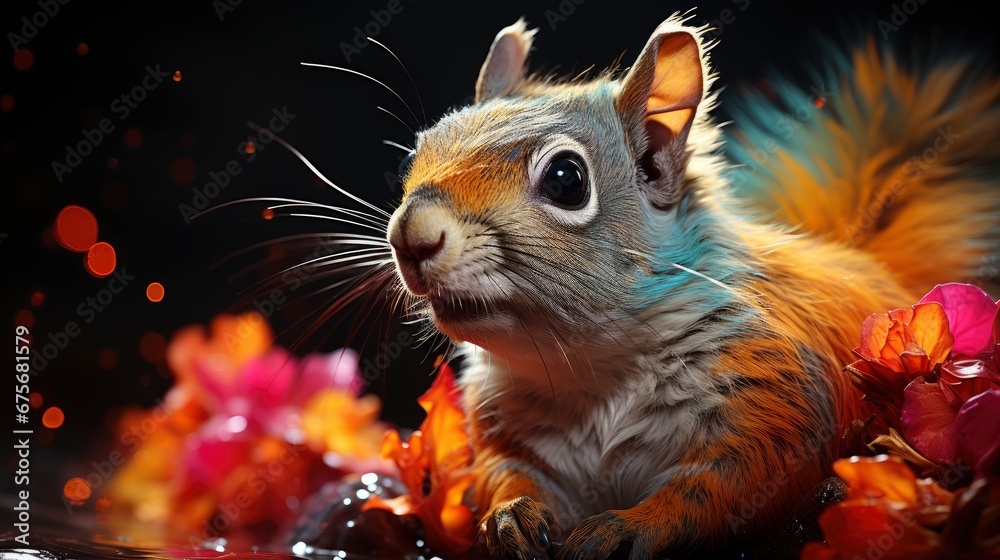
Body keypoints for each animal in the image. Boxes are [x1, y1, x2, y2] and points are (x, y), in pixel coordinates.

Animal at [384, 13, 1000, 560]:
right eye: (421, 148)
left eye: (566, 180)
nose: (410, 237)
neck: (588, 372)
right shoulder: (511, 432)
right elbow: (506, 472)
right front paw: (509, 515)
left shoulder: (773, 398)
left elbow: (727, 485)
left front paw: (631, 526)